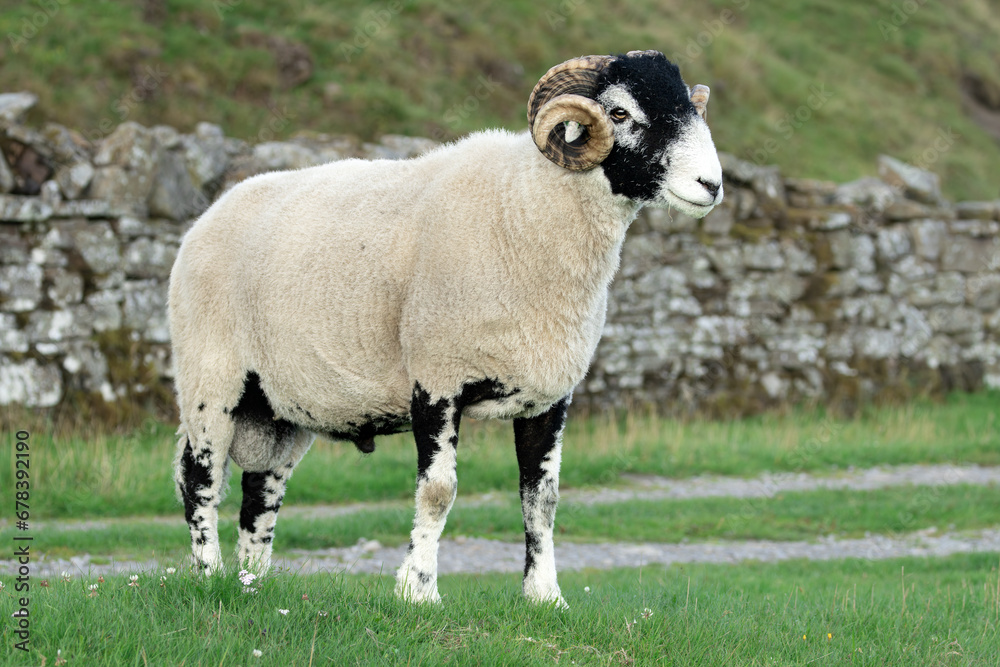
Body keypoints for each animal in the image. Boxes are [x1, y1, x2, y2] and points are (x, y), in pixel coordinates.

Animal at [169, 49, 723, 607]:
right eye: (620, 113)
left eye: (689, 105)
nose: (712, 185)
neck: (524, 209)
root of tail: (208, 215)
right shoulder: (437, 380)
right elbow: (438, 491)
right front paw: (418, 591)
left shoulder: (550, 397)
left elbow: (541, 499)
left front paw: (545, 596)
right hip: (209, 377)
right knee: (200, 478)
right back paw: (209, 574)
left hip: (282, 409)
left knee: (259, 495)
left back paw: (251, 584)